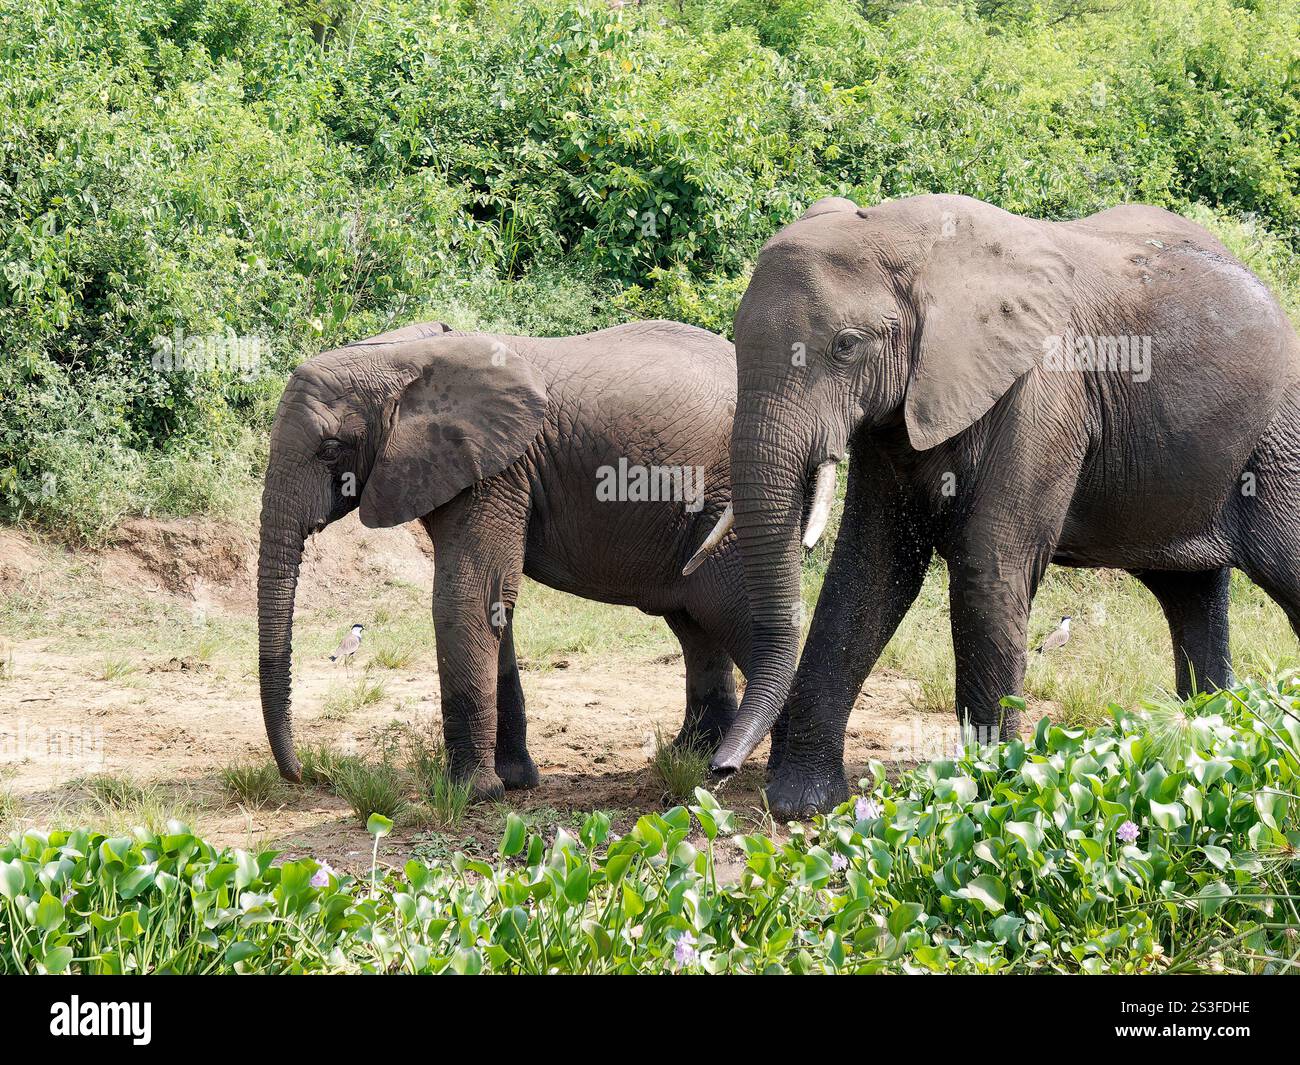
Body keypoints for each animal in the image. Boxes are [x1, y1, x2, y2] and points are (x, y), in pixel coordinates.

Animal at [258, 319, 750, 800]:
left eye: (330, 449)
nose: (301, 775)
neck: (402, 355)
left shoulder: (497, 471)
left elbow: (465, 599)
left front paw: (469, 794)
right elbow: (495, 605)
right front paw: (514, 782)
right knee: (693, 621)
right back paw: (691, 757)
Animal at [685, 192, 1300, 817]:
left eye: (846, 346)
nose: (720, 770)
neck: (920, 245)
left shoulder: (1046, 392)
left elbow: (987, 568)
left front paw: (992, 796)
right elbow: (869, 571)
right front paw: (801, 803)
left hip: (1279, 437)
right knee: (1189, 594)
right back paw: (1209, 741)